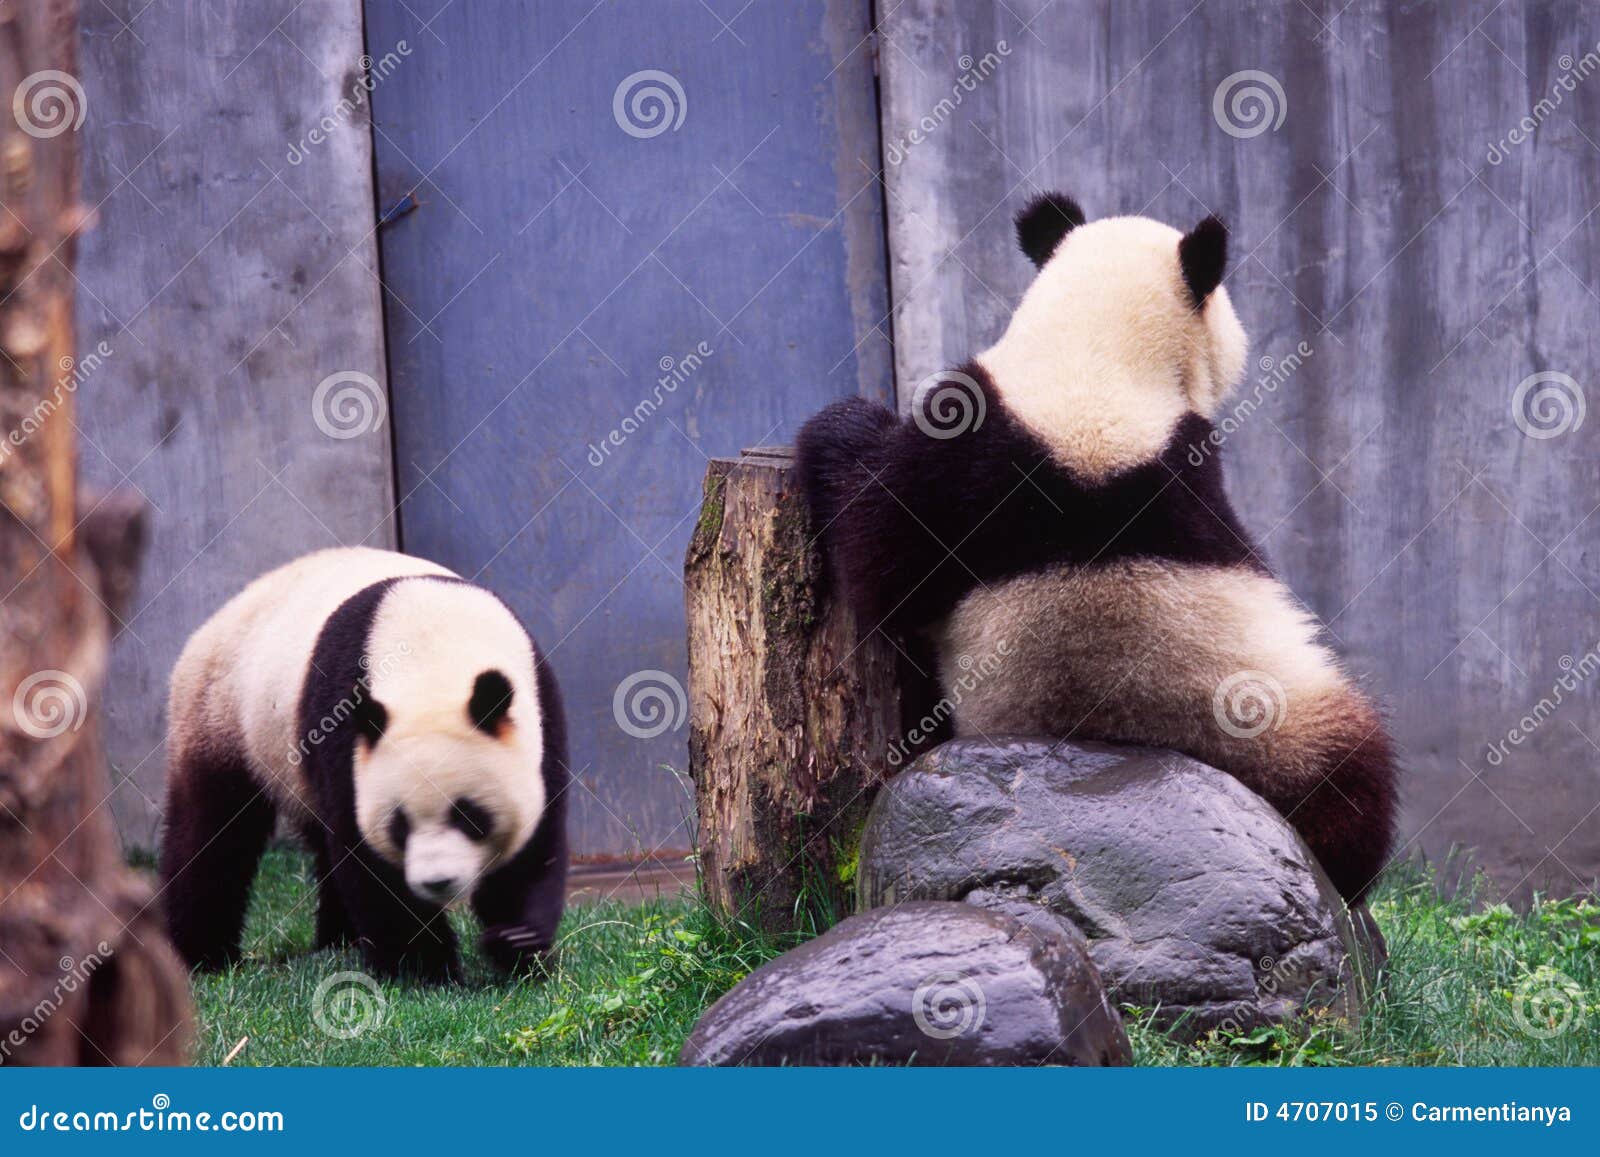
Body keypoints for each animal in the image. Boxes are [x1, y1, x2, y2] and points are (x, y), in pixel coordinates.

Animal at [158, 546, 568, 981]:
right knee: (212, 831)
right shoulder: (342, 721)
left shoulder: (540, 711)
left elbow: (536, 841)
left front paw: (517, 944)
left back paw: (339, 941)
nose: (438, 881)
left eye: (470, 816)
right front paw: (422, 968)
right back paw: (205, 955)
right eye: (400, 824)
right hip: (221, 713)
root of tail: (216, 619)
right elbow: (364, 855)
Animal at [796, 193, 1397, 903]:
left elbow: (876, 561)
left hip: (1293, 717)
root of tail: (1133, 732)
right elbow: (881, 561)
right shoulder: (985, 441)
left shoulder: (971, 449)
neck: (1096, 361)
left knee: (1357, 781)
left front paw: (840, 426)